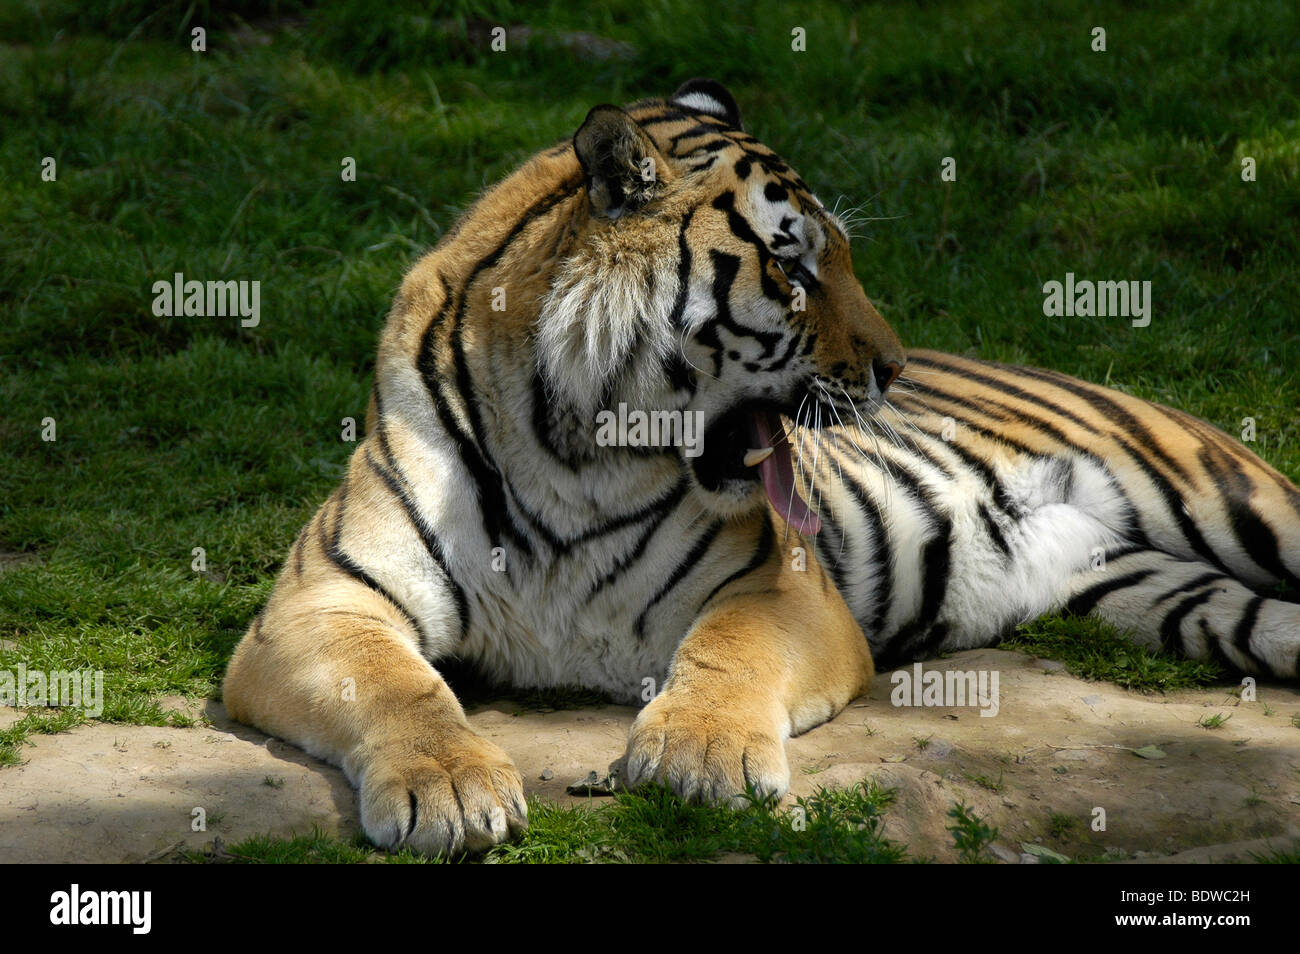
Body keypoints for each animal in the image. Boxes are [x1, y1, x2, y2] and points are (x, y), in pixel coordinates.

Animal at [223, 79, 1300, 856]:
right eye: (791, 268)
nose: (893, 368)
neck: (571, 450)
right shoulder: (322, 600)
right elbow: (395, 687)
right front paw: (447, 788)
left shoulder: (780, 585)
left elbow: (727, 655)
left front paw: (700, 758)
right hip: (1167, 596)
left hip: (1244, 505)